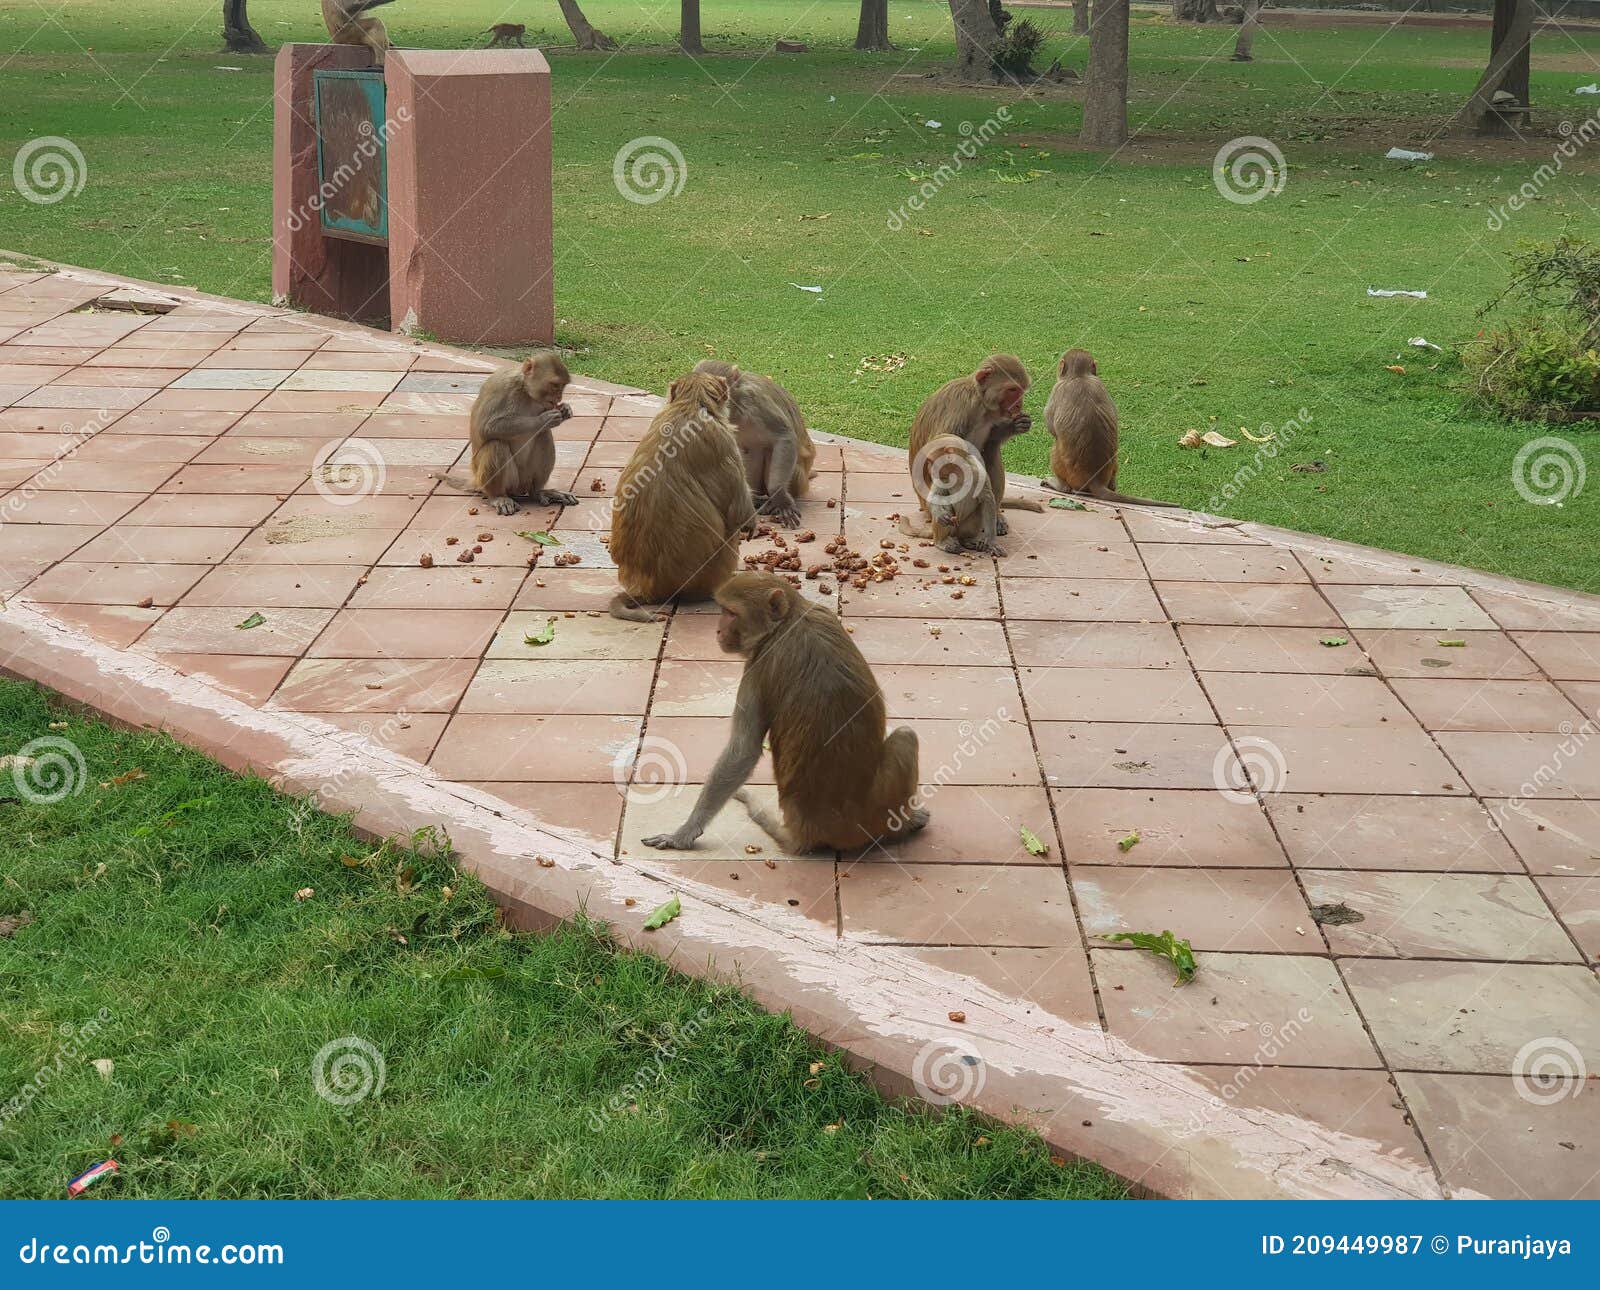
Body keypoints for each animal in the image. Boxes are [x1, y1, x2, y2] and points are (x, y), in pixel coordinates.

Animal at [448, 351, 578, 516]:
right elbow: (486, 427)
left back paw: (538, 491)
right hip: (504, 481)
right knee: (496, 445)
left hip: (525, 479)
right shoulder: (501, 387)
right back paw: (498, 496)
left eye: (562, 386)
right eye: (554, 385)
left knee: (543, 436)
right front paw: (544, 420)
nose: (559, 398)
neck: (525, 390)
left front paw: (565, 409)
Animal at [607, 371, 757, 622]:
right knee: (729, 535)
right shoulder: (723, 440)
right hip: (709, 573)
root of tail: (648, 589)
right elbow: (737, 512)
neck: (690, 406)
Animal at [642, 572, 927, 854]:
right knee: (906, 735)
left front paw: (684, 833)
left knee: (905, 736)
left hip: (875, 814)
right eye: (723, 611)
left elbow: (743, 750)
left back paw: (904, 825)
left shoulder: (757, 664)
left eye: (731, 613)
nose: (719, 630)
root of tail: (809, 832)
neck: (788, 620)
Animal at [906, 354, 1044, 539]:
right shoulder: (960, 406)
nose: (1018, 405)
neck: (981, 402)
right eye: (1012, 390)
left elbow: (991, 440)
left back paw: (995, 517)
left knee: (991, 451)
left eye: (1021, 390)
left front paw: (1014, 426)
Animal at [1042, 349, 1177, 507]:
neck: (1080, 376)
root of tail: (1095, 480)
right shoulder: (1101, 386)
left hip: (1068, 472)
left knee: (1056, 447)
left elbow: (1051, 426)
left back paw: (1060, 485)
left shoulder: (1058, 389)